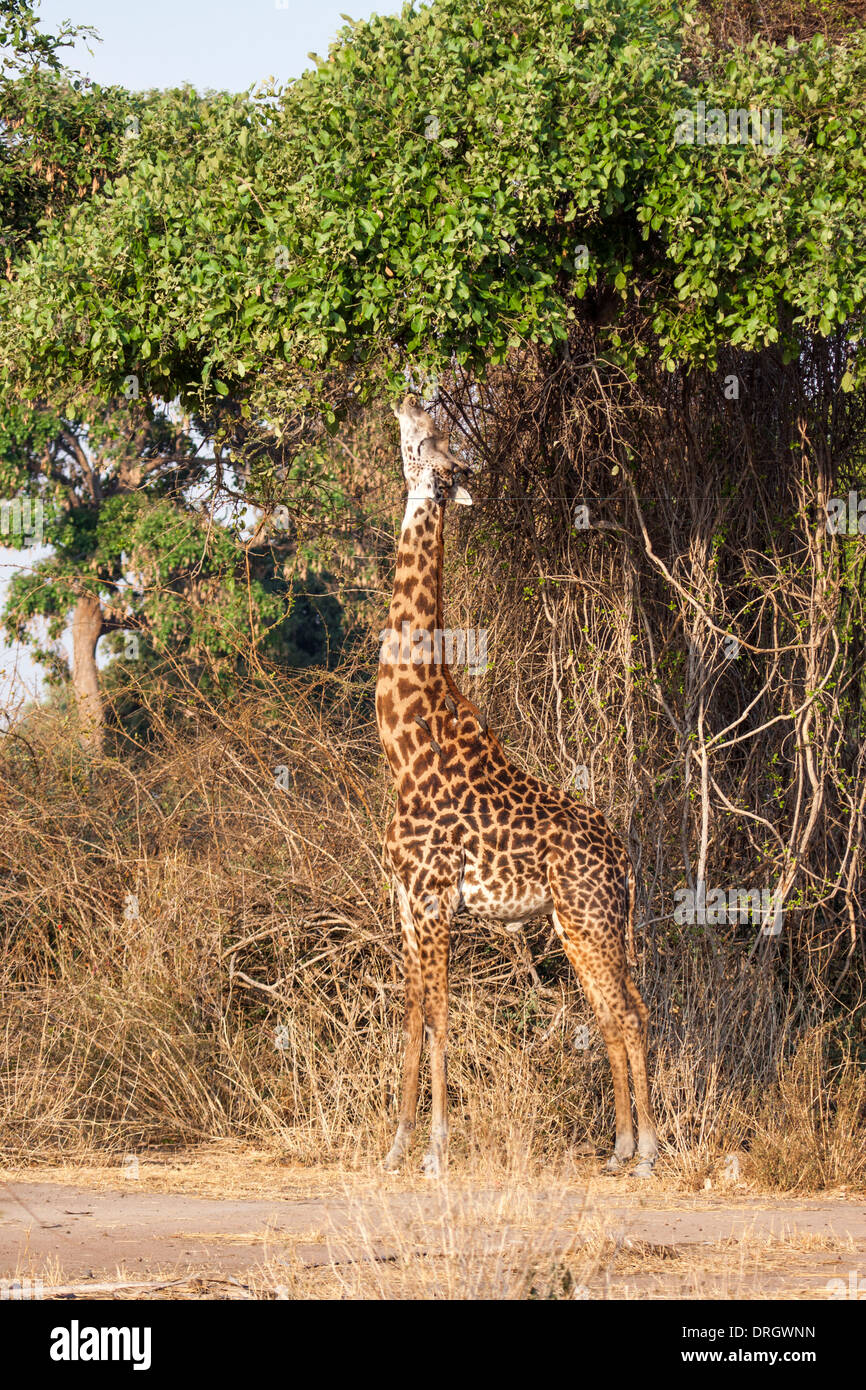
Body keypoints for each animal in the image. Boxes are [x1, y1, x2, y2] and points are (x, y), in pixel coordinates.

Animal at [376, 395, 658, 1179]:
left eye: (427, 442)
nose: (409, 396)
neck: (402, 744)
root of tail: (626, 860)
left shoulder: (433, 898)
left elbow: (441, 1016)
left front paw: (437, 1150)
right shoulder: (404, 901)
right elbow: (412, 1017)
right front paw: (395, 1146)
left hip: (590, 919)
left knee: (625, 1013)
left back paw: (646, 1152)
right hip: (579, 922)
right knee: (619, 1011)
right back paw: (621, 1149)